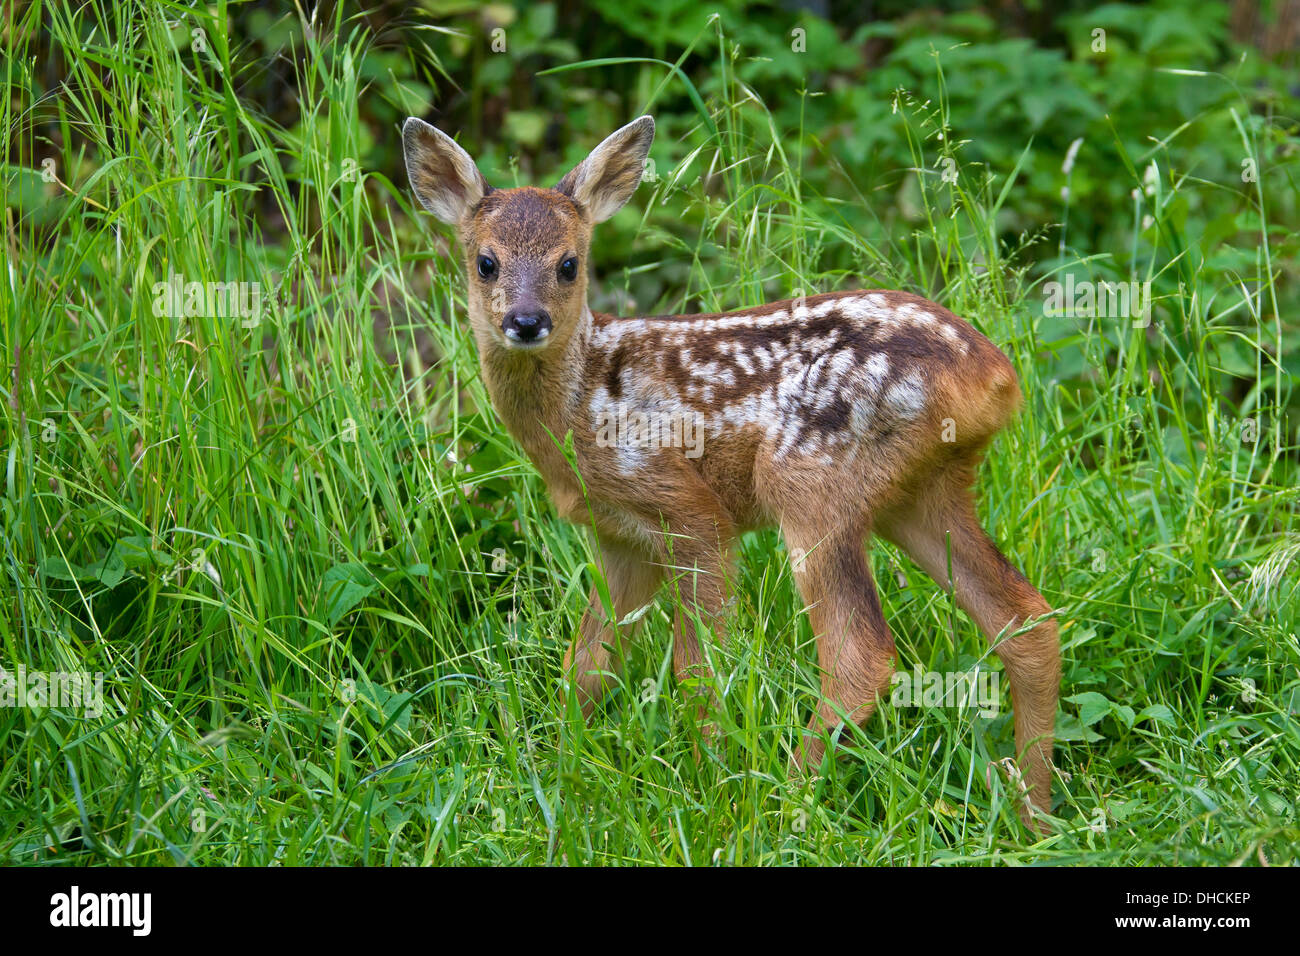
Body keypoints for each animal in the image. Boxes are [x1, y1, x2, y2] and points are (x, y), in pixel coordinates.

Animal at [402, 113, 1061, 830]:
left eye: (568, 264)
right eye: (485, 262)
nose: (526, 321)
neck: (580, 410)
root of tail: (993, 376)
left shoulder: (688, 510)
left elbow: (698, 665)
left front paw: (708, 781)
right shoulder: (619, 537)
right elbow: (589, 664)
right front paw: (556, 772)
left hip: (811, 481)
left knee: (861, 655)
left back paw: (783, 805)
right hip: (919, 496)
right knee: (1025, 619)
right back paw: (1035, 814)